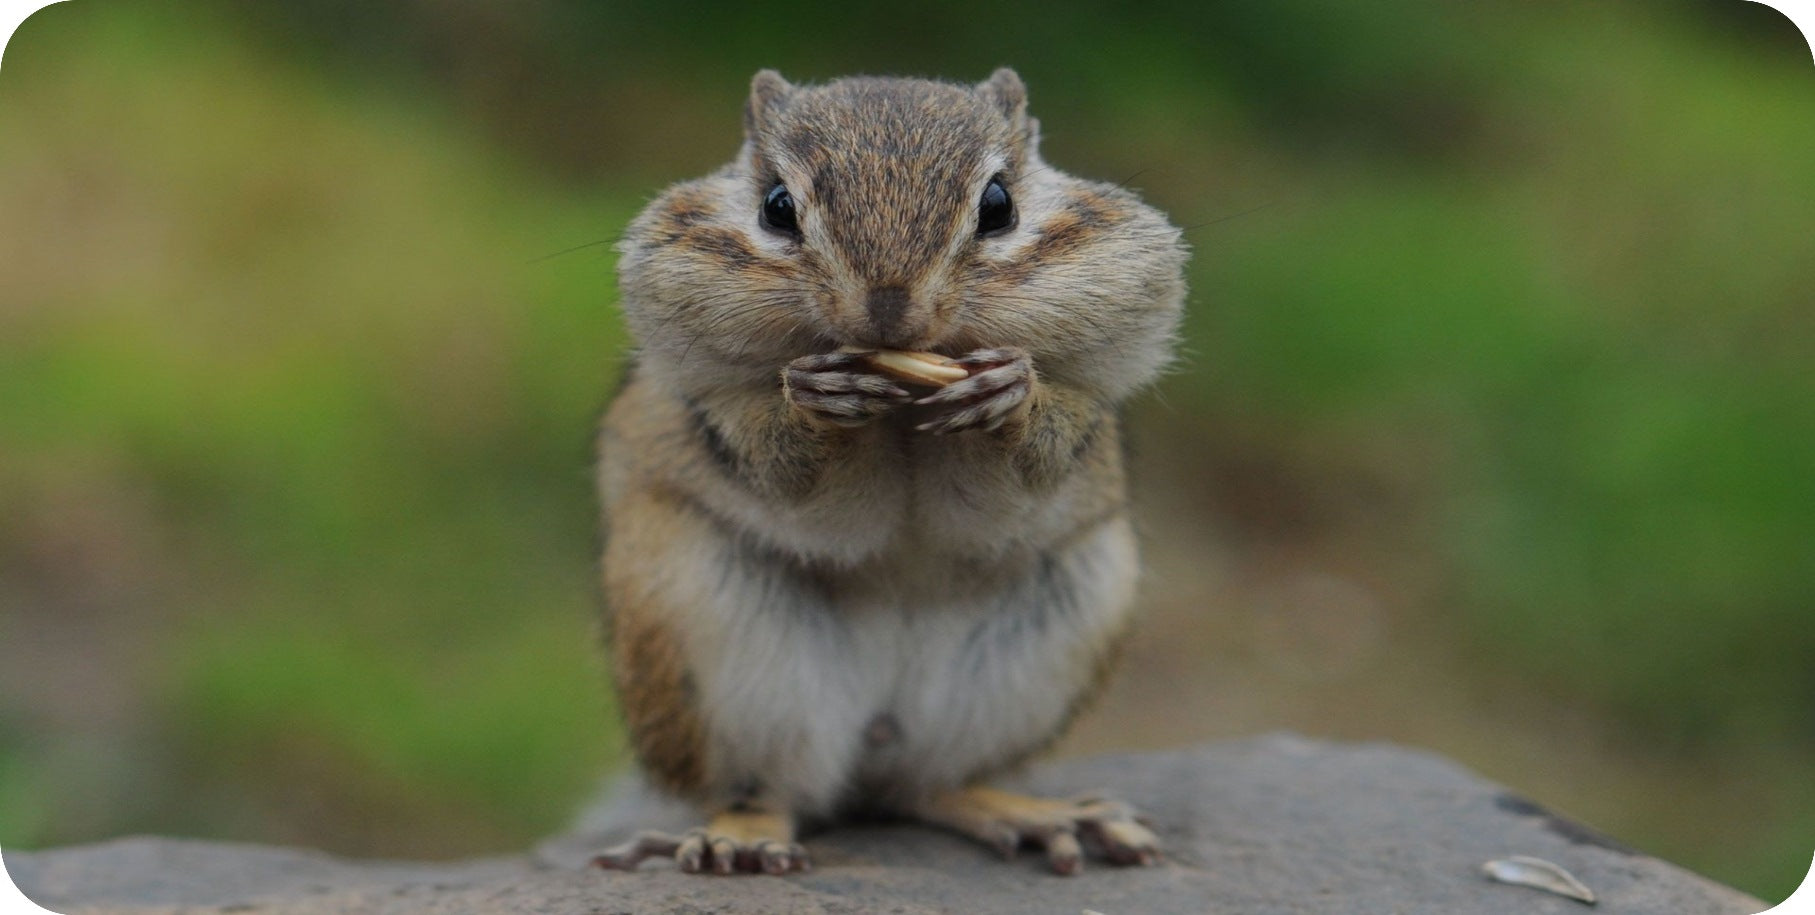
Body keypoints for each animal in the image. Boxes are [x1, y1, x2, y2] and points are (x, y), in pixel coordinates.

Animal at [588, 68, 1188, 877]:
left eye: (998, 206)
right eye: (776, 207)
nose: (888, 311)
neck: (902, 410)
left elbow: (1036, 456)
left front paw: (1011, 394)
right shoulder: (715, 412)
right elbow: (786, 467)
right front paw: (816, 403)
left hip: (1056, 630)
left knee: (930, 785)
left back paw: (1038, 814)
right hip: (703, 639)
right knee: (771, 786)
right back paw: (738, 836)